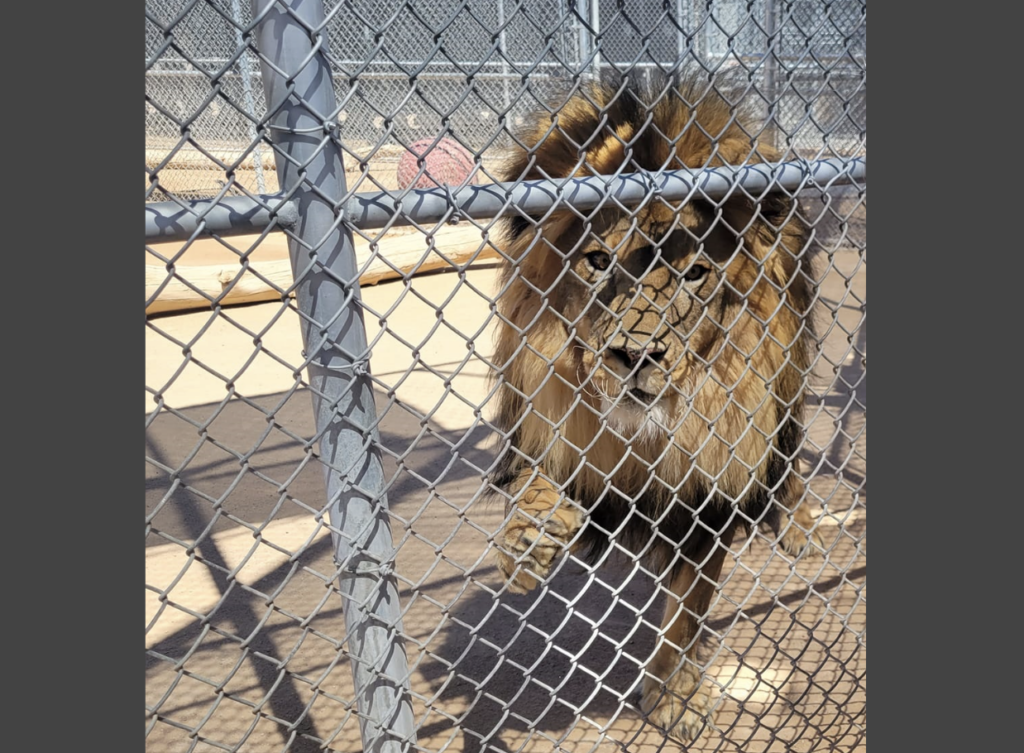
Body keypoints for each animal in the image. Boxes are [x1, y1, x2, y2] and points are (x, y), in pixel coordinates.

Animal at [487, 70, 822, 742]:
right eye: (597, 262)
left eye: (694, 274)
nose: (635, 356)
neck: (644, 435)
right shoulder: (551, 424)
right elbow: (538, 474)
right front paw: (530, 536)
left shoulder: (707, 495)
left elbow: (686, 613)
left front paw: (675, 700)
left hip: (790, 377)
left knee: (792, 451)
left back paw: (797, 525)